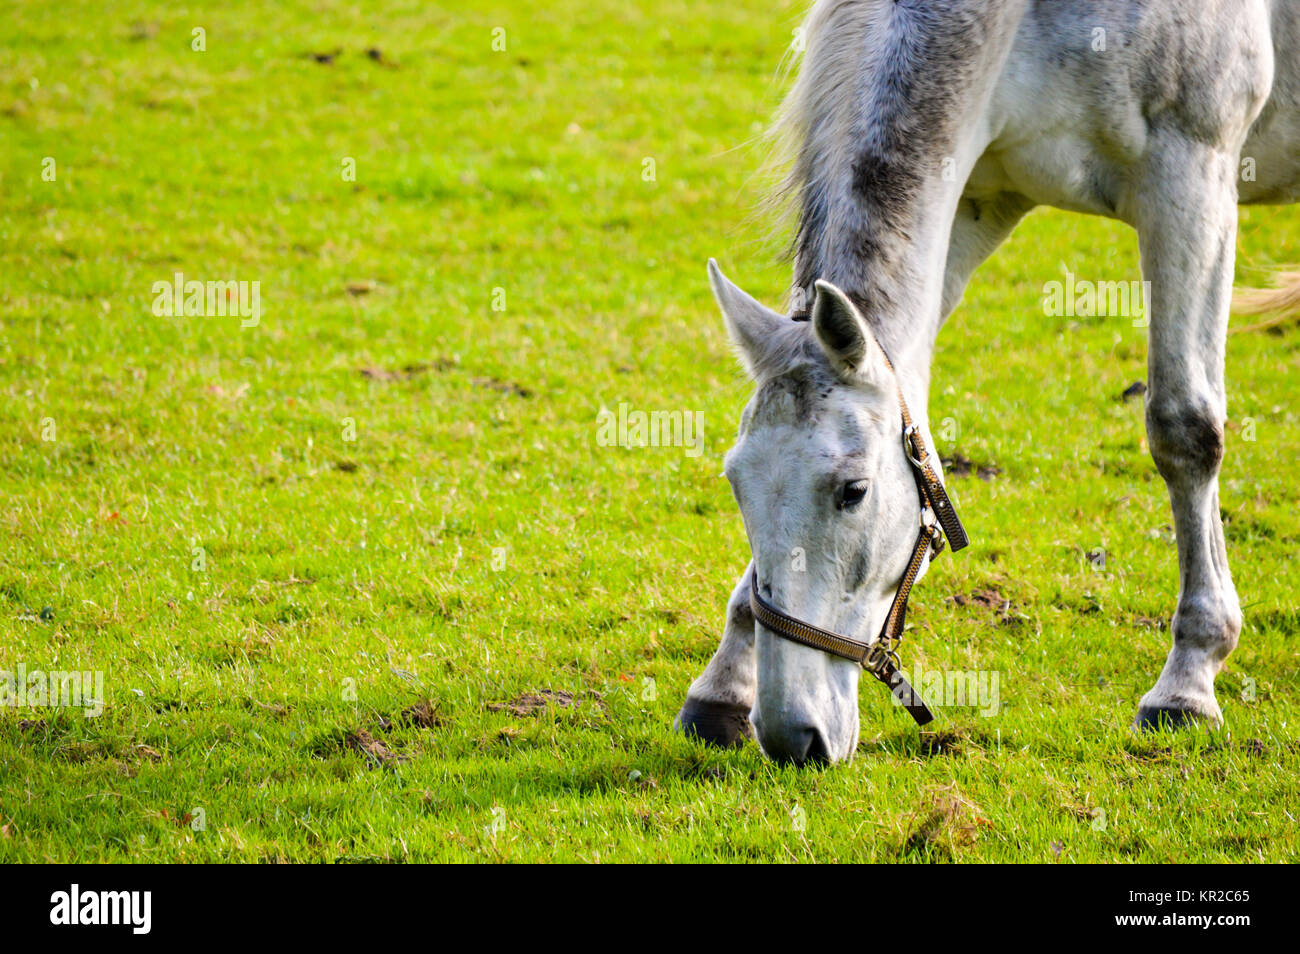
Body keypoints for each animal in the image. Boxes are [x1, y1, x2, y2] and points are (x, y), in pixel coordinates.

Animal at [675, 0, 1300, 765]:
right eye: (736, 482)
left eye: (853, 491)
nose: (793, 737)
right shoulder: (977, 200)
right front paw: (722, 688)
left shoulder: (1192, 178)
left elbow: (1185, 429)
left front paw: (1188, 680)